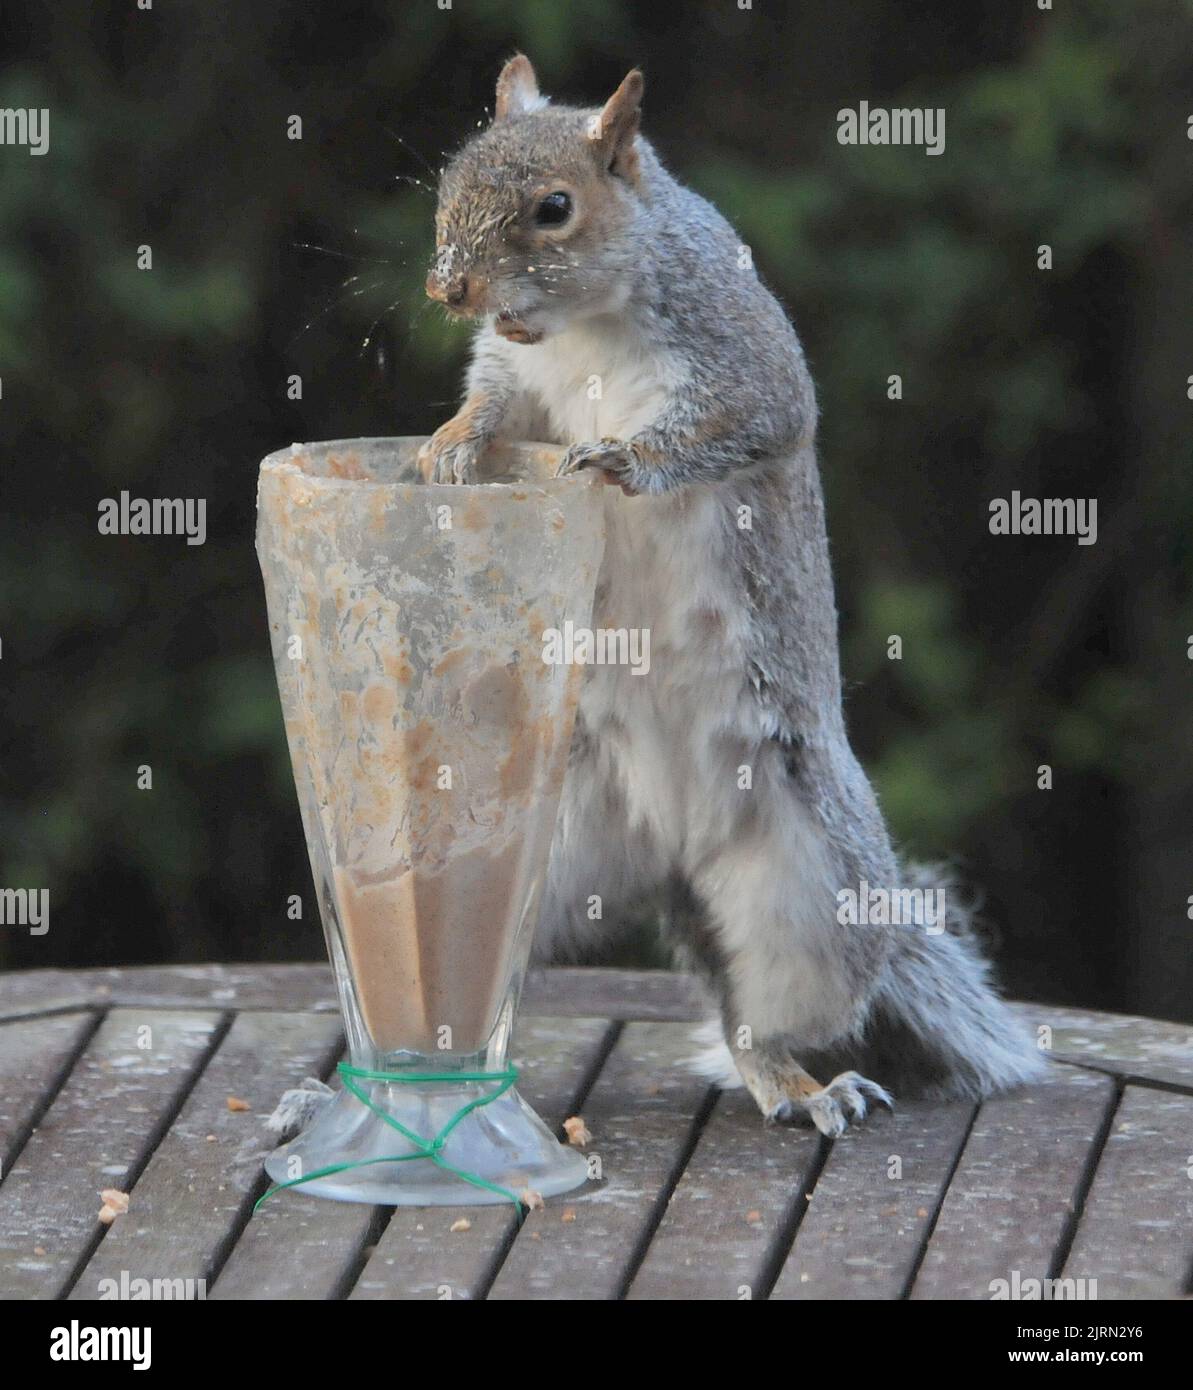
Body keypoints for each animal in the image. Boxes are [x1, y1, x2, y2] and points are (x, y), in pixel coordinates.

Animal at [413, 55, 1046, 1137]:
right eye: (453, 173)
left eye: (553, 209)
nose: (448, 285)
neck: (580, 326)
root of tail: (665, 850)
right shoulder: (516, 374)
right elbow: (494, 404)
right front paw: (451, 443)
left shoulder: (740, 362)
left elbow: (728, 425)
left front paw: (622, 459)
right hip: (529, 852)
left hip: (814, 879)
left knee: (767, 1018)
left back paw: (802, 1085)